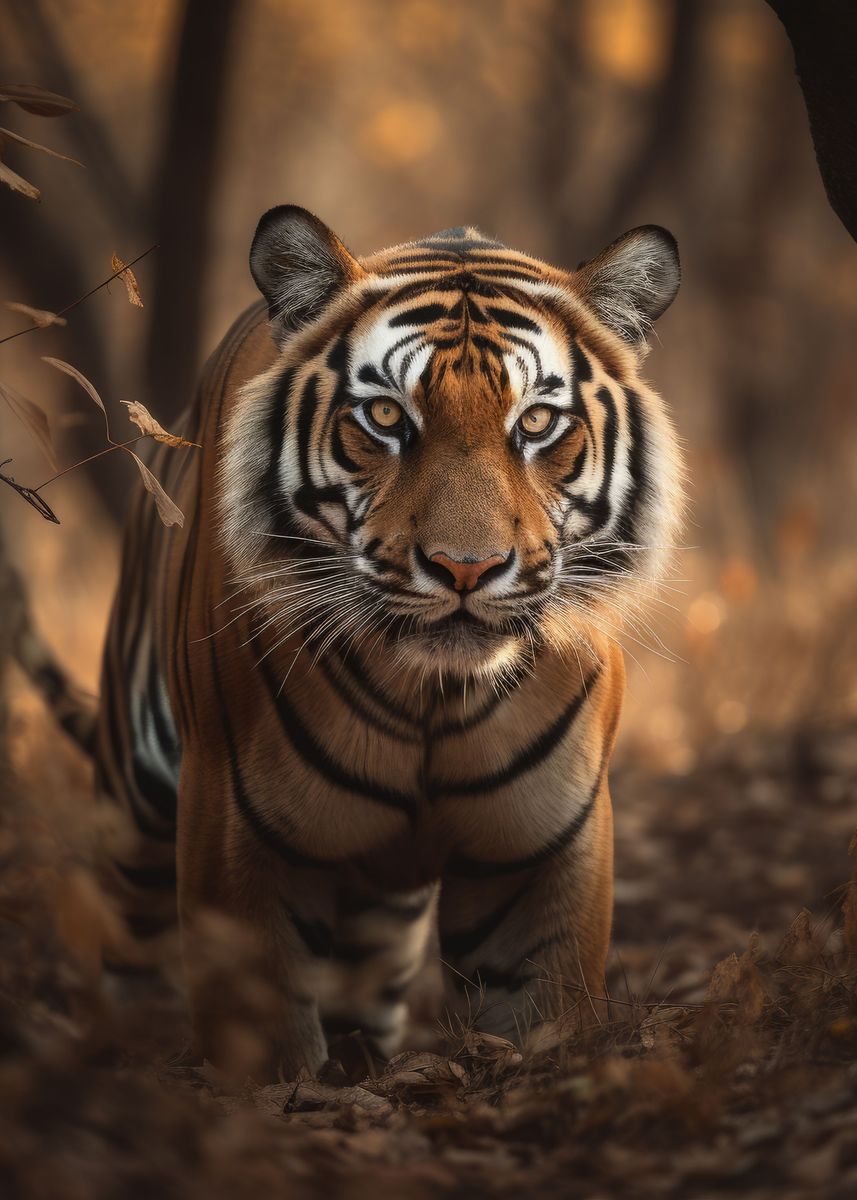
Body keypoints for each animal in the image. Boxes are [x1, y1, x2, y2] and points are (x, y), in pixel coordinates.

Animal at [93, 205, 683, 1078]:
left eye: (536, 423)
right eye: (385, 418)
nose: (466, 567)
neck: (432, 693)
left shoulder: (541, 852)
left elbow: (542, 1024)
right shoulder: (233, 832)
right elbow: (259, 1049)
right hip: (134, 814)